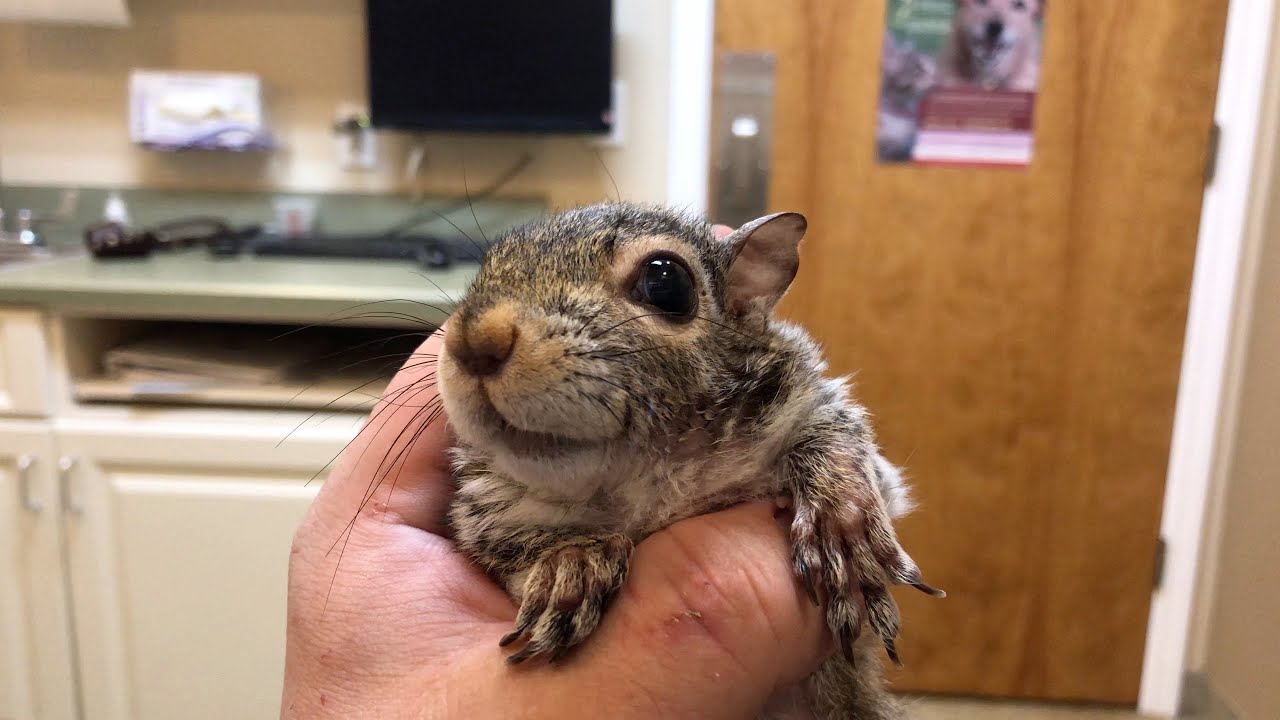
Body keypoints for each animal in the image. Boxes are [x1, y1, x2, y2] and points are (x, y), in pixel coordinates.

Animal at [437, 202, 943, 719]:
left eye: (667, 282)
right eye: (485, 268)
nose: (474, 339)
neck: (648, 472)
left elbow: (845, 443)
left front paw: (840, 518)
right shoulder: (484, 511)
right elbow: (503, 544)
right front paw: (569, 561)